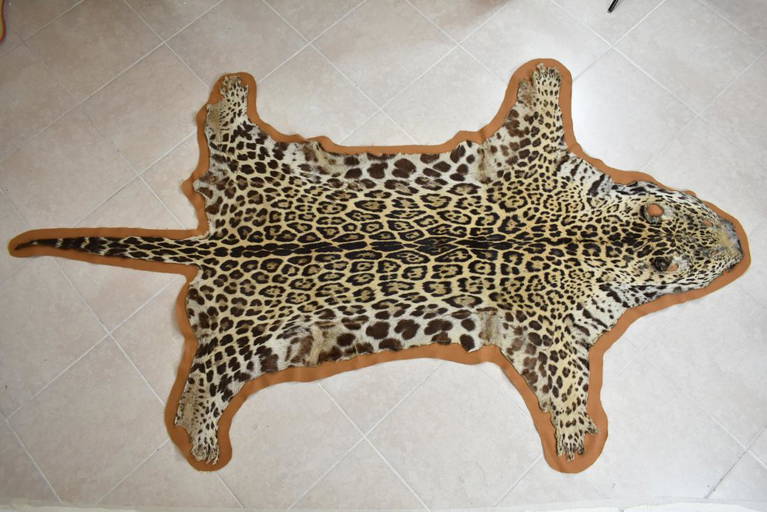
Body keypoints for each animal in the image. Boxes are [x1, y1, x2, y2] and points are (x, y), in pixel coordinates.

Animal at [11, 63, 744, 466]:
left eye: (709, 224)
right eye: (705, 259)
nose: (740, 246)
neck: (603, 235)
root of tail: (215, 239)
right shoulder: (554, 332)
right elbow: (568, 388)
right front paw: (574, 441)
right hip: (249, 346)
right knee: (198, 392)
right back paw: (202, 443)